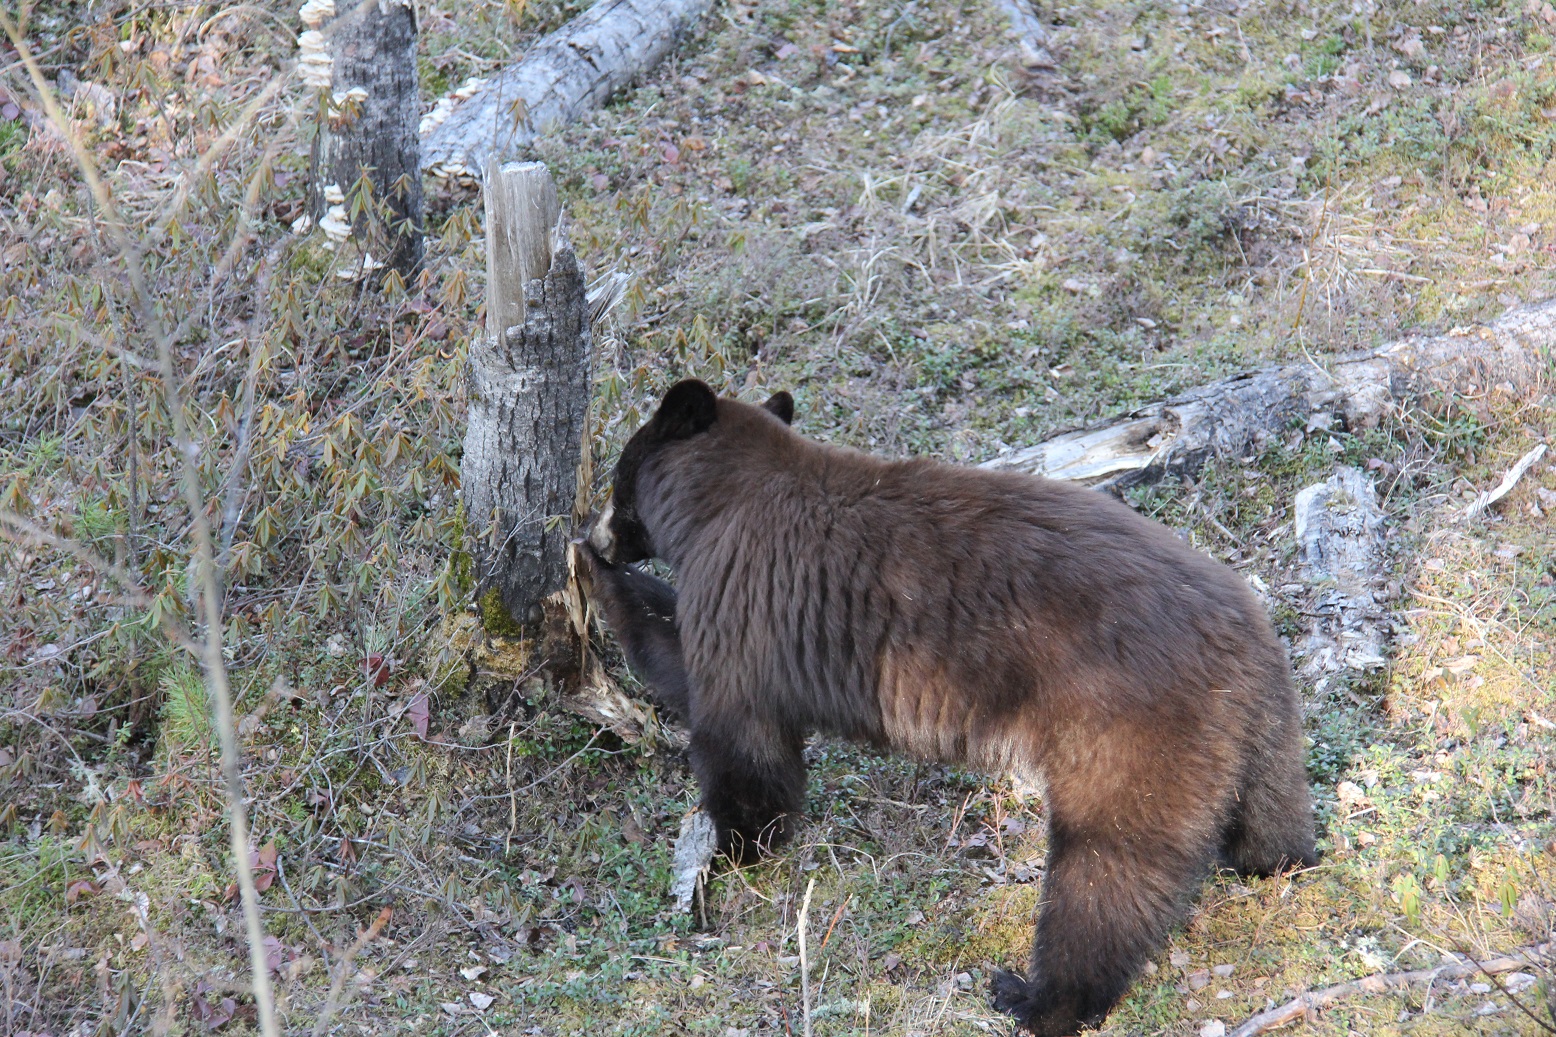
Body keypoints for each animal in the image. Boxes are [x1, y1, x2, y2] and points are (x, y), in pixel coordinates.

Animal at [582, 379, 1316, 1037]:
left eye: (618, 478)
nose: (600, 533)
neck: (722, 498)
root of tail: (1240, 635)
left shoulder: (742, 600)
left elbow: (727, 722)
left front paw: (736, 843)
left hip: (1128, 730)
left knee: (1108, 872)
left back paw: (1036, 997)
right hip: (1261, 730)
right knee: (1272, 813)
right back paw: (1279, 861)